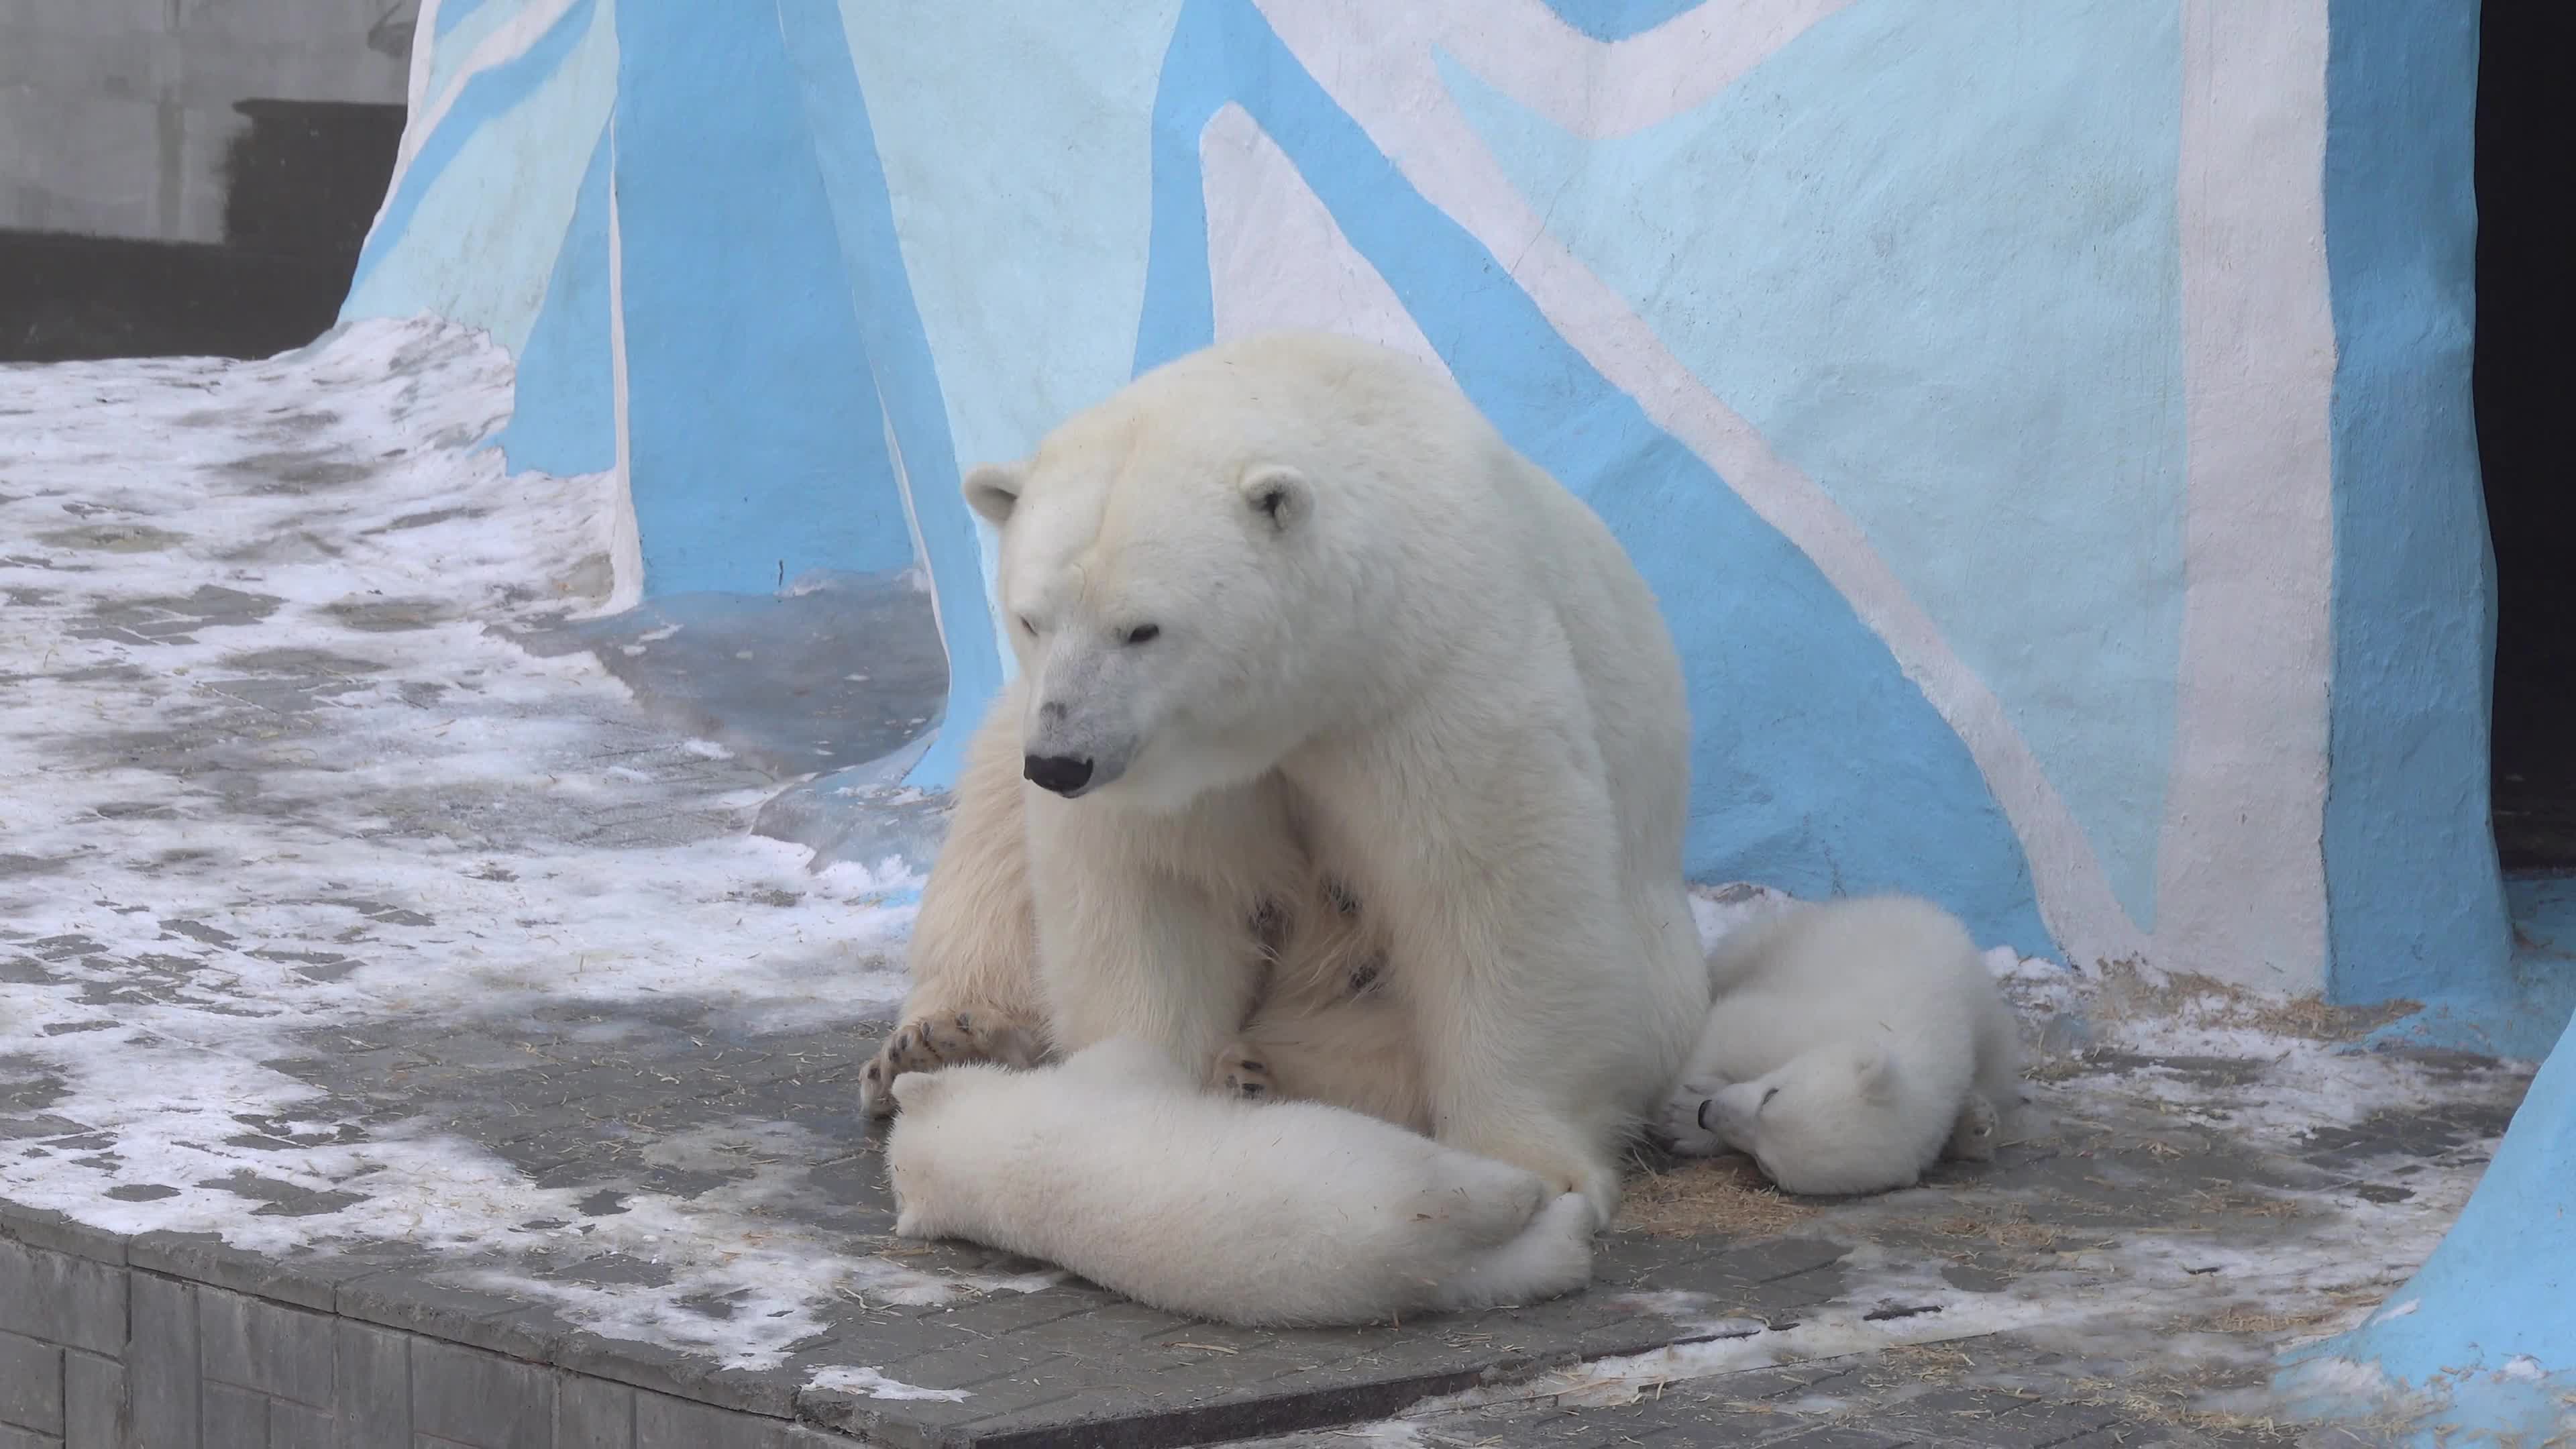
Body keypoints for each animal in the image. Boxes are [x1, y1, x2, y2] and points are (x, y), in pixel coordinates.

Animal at [865, 332, 1710, 1212]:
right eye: (1032, 619)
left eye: (1142, 629)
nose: (1063, 763)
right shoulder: (1163, 769)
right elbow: (1154, 895)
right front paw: (1135, 1109)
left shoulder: (1432, 673)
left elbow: (1493, 890)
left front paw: (1535, 1164)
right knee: (991, 837)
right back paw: (943, 1040)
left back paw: (1268, 1067)